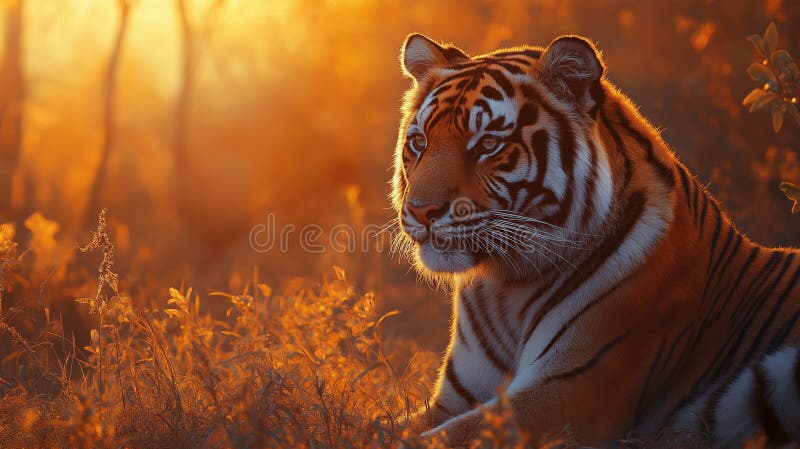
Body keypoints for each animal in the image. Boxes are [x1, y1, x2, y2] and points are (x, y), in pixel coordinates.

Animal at [392, 33, 800, 448]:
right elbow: (389, 424)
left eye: (489, 143)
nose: (421, 211)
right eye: (419, 142)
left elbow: (441, 436)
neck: (505, 285)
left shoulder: (573, 391)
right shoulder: (455, 398)